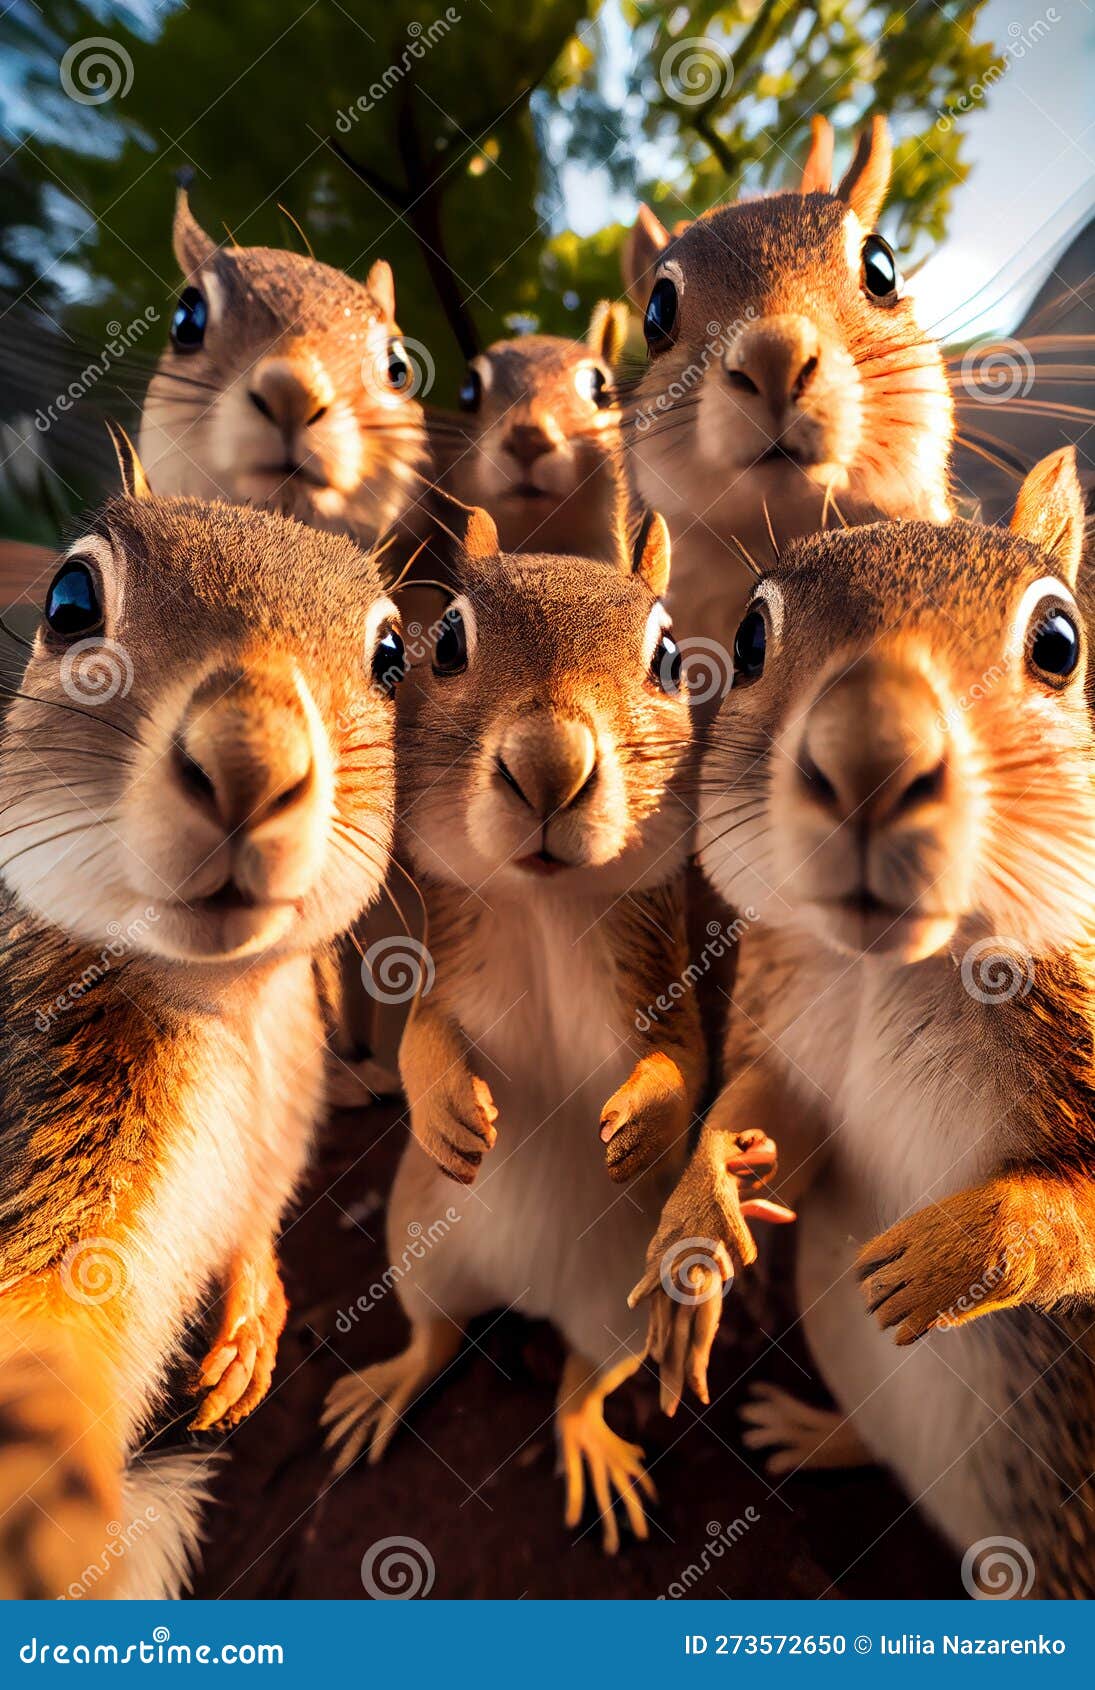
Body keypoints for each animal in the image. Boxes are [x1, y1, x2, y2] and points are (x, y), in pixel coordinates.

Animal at [0, 432, 402, 1598]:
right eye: (69, 600)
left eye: (396, 656)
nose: (251, 761)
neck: (234, 1011)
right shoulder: (53, 1105)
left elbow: (258, 1216)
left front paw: (255, 1311)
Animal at [322, 503, 760, 1554]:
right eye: (443, 644)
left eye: (671, 658)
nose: (550, 769)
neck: (546, 910)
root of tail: (526, 1295)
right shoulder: (441, 977)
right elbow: (420, 1040)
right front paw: (449, 1110)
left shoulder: (666, 982)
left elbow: (686, 1062)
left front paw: (641, 1124)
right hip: (419, 1243)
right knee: (433, 1335)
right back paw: (389, 1385)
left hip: (613, 1314)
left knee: (580, 1384)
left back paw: (589, 1441)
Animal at [633, 446, 1095, 1597]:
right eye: (749, 638)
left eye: (1059, 643)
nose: (868, 757)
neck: (899, 973)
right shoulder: (787, 1005)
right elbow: (768, 1114)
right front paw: (699, 1215)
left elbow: (1077, 1207)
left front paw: (969, 1246)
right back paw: (814, 1432)